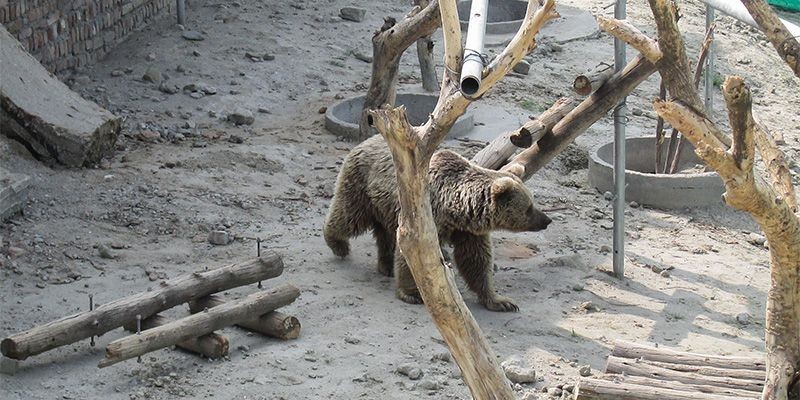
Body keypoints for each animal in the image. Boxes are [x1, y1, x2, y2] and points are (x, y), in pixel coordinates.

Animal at [323, 135, 551, 312]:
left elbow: (476, 260)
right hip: (362, 186)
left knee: (383, 234)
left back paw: (385, 265)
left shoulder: (467, 231)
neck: (455, 208)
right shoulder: (424, 215)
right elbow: (411, 256)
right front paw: (411, 293)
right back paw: (338, 244)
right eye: (528, 208)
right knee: (349, 216)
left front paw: (500, 301)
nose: (546, 220)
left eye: (532, 202)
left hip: (385, 205)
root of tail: (367, 139)